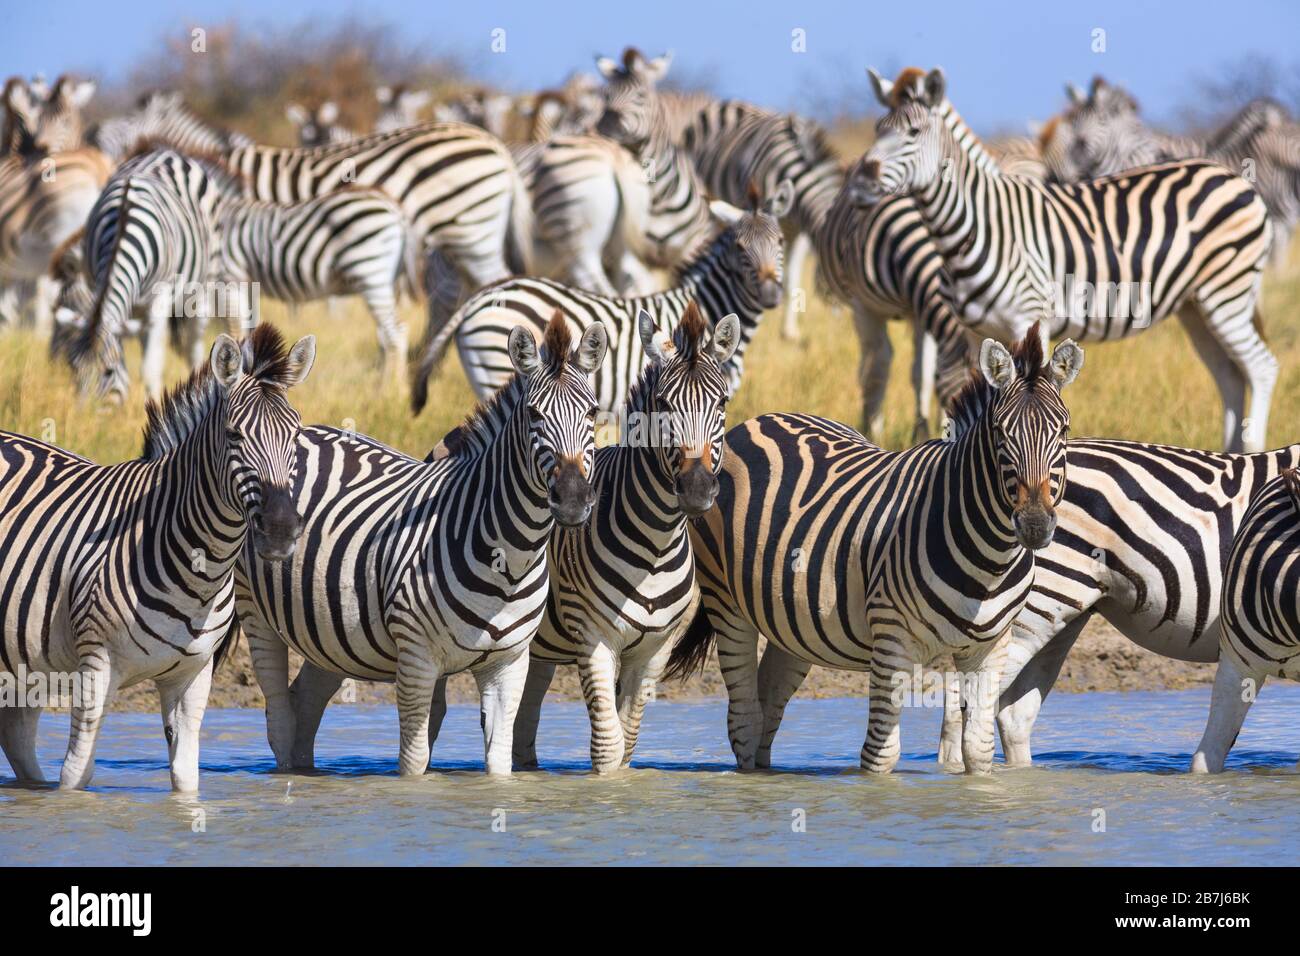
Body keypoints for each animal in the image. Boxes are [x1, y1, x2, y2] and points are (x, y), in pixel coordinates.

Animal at [0, 325, 315, 791]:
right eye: (234, 436)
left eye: (295, 438)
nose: (280, 529)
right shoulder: (96, 663)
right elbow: (76, 774)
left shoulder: (193, 673)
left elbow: (185, 776)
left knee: (17, 737)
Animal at [233, 311, 607, 776]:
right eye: (533, 414)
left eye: (592, 412)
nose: (573, 499)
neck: (510, 558)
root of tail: (303, 431)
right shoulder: (416, 658)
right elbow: (414, 762)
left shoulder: (508, 664)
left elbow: (499, 762)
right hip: (256, 611)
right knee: (279, 713)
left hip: (331, 628)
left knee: (307, 700)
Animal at [411, 182, 789, 414]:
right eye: (740, 247)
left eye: (781, 241)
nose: (771, 294)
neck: (710, 312)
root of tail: (482, 296)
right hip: (499, 371)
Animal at [512, 303, 739, 773]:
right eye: (663, 404)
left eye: (722, 402)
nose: (696, 490)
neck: (656, 544)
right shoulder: (593, 639)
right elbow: (608, 747)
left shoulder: (653, 650)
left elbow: (628, 744)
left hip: (537, 648)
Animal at [666, 325, 1085, 774]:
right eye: (1002, 434)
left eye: (1064, 430)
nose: (1036, 525)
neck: (988, 562)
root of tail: (758, 421)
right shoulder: (891, 640)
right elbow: (880, 755)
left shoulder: (990, 648)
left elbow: (977, 748)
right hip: (726, 602)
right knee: (745, 718)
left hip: (793, 620)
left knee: (770, 701)